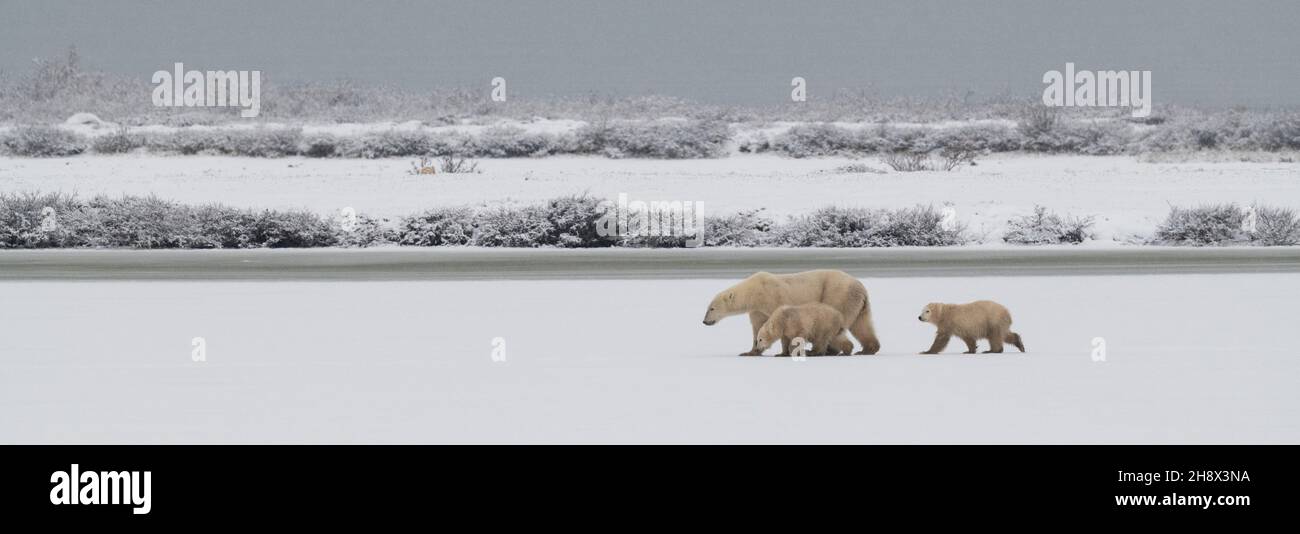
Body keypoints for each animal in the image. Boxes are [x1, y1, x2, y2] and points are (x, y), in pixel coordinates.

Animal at [702, 269, 880, 356]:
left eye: (711, 308)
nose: (704, 321)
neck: (756, 292)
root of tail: (861, 287)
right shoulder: (757, 309)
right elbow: (757, 327)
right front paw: (750, 351)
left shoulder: (773, 298)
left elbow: (781, 324)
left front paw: (784, 351)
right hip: (859, 303)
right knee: (861, 324)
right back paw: (868, 349)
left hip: (838, 294)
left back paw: (826, 350)